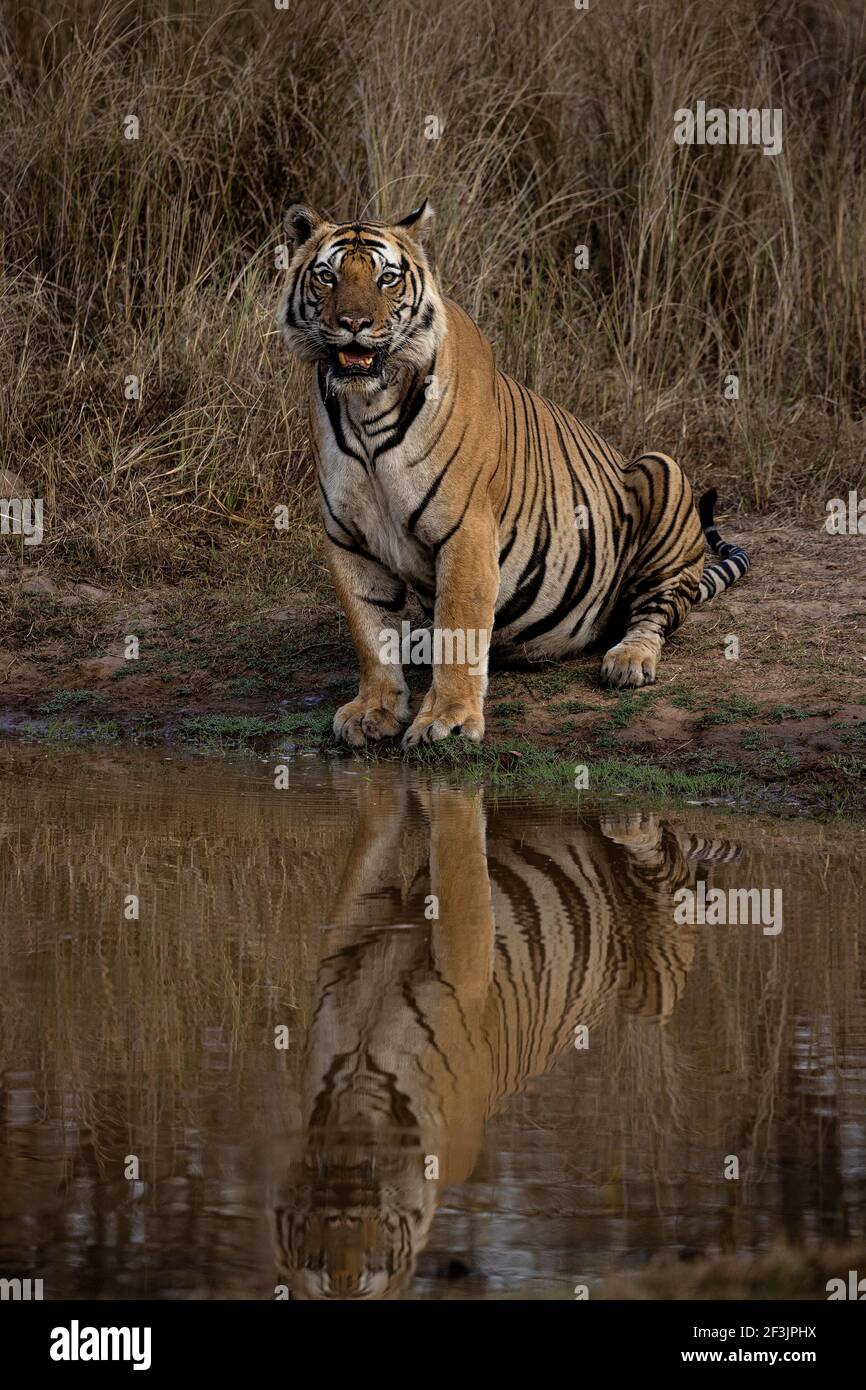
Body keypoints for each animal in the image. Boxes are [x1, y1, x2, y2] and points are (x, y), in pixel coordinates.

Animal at [270, 767, 739, 1300]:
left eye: (369, 1277)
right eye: (314, 1265)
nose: (346, 1268)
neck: (358, 1119)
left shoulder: (464, 961)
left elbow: (454, 847)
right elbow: (374, 833)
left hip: (652, 989)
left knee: (667, 860)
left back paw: (630, 823)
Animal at [277, 200, 751, 748]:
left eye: (387, 278)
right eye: (327, 276)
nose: (354, 322)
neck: (366, 409)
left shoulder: (464, 531)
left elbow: (460, 630)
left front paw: (447, 721)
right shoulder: (348, 540)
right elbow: (370, 632)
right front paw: (373, 711)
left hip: (662, 471)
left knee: (655, 613)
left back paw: (628, 660)